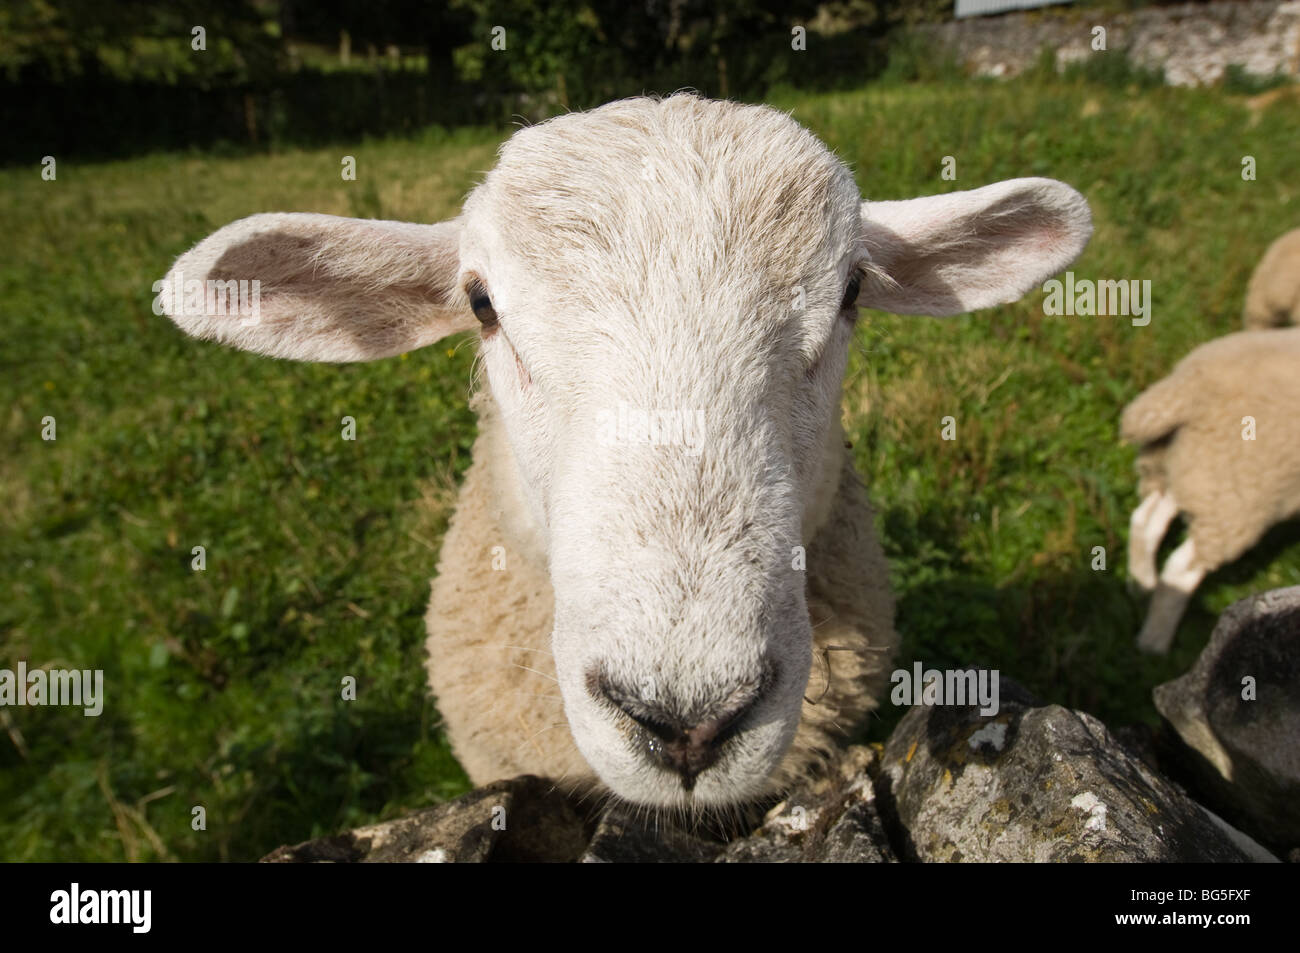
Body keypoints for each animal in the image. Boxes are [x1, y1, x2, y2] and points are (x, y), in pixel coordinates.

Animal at [1123, 327, 1300, 653]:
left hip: (1192, 471)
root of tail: (1188, 388)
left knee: (1146, 522)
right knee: (1180, 570)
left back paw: (1141, 586)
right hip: (1235, 498)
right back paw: (1155, 642)